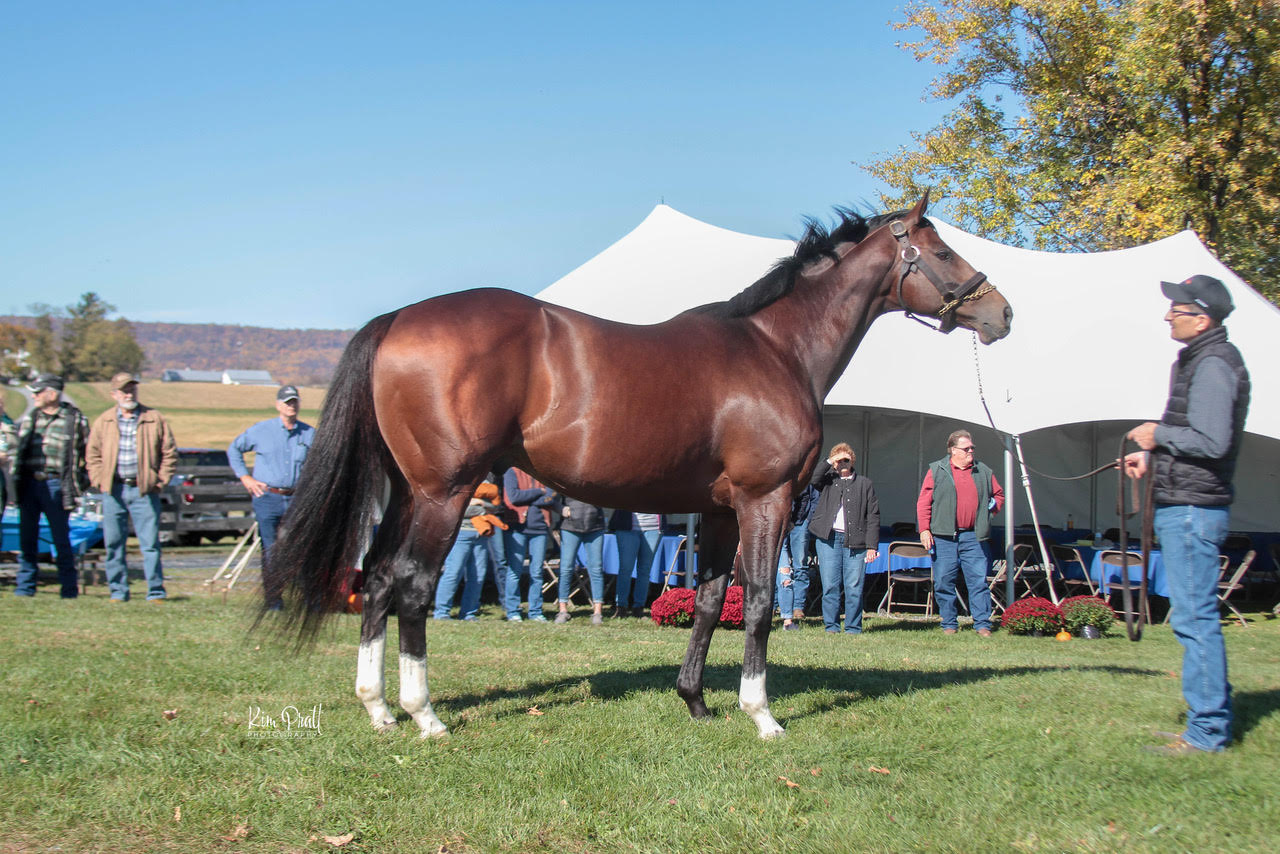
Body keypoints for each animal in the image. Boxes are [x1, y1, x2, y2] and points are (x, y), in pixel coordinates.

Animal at [271, 192, 1013, 739]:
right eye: (942, 250)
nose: (1002, 313)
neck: (776, 348)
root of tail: (398, 320)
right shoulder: (765, 499)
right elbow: (761, 600)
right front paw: (762, 715)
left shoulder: (719, 508)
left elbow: (712, 601)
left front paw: (697, 702)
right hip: (444, 494)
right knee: (414, 586)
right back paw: (424, 715)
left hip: (406, 491)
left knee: (377, 579)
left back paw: (377, 707)